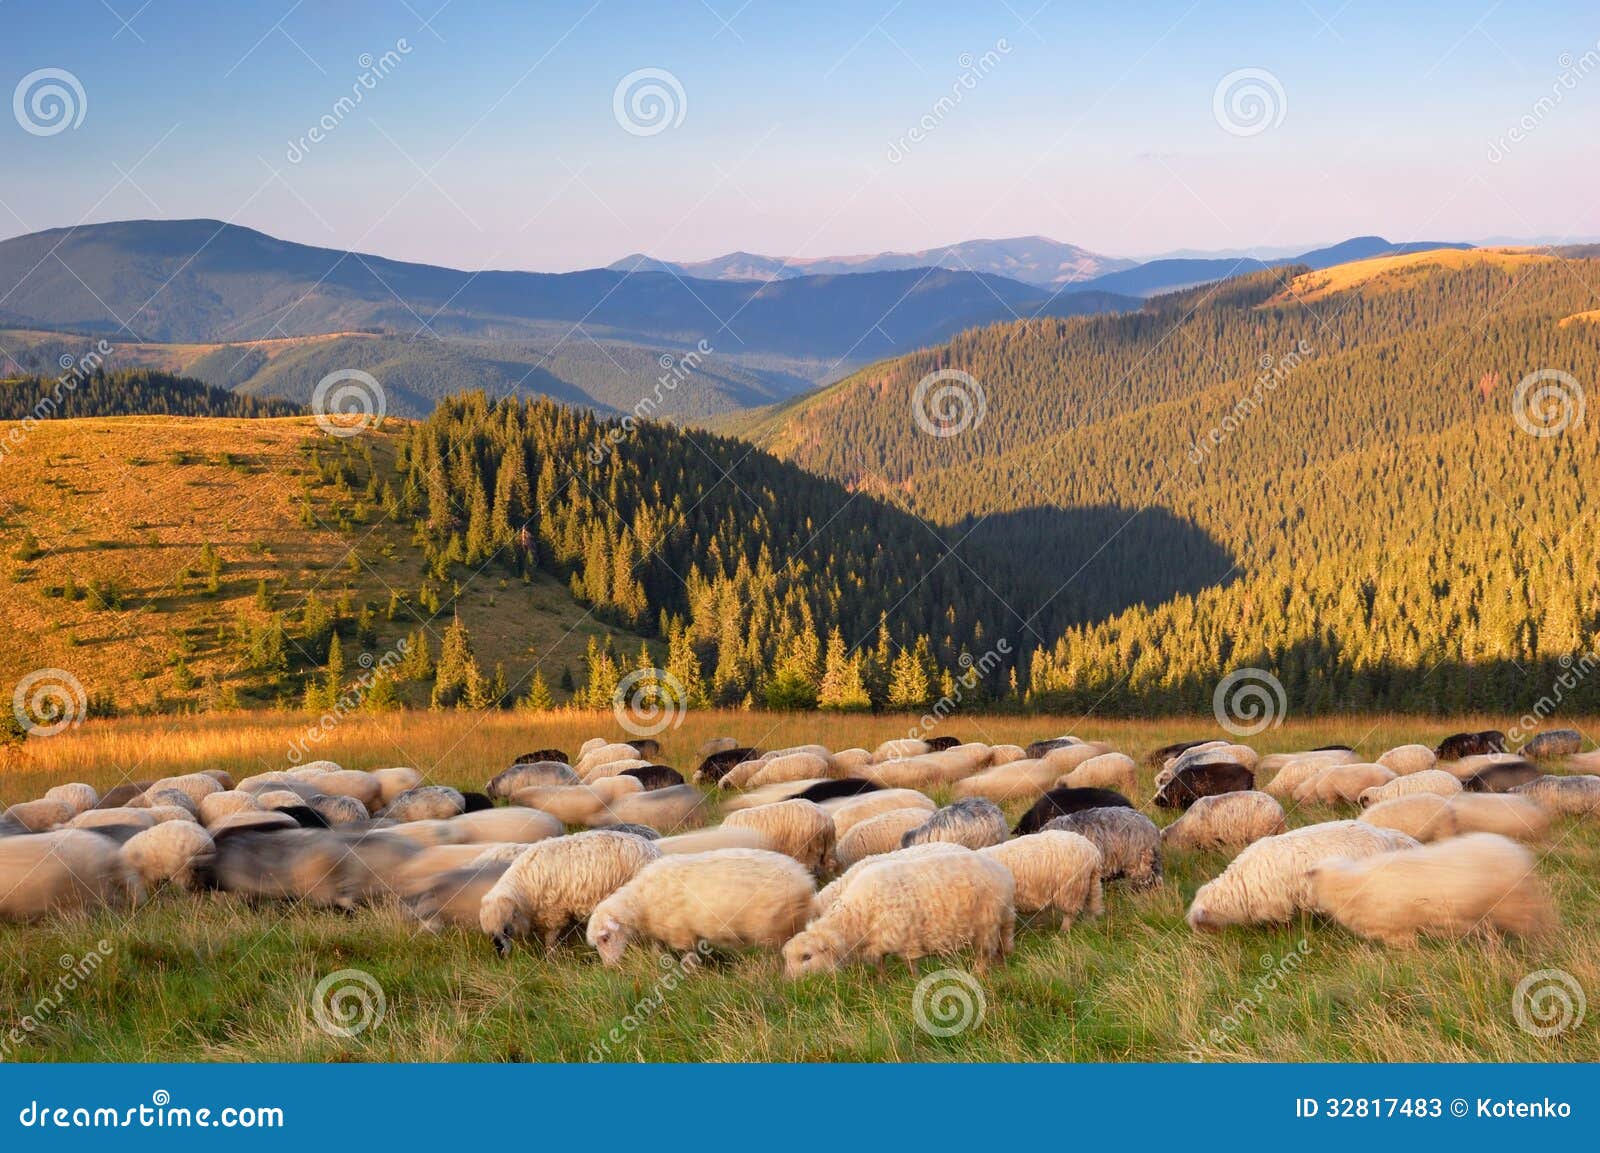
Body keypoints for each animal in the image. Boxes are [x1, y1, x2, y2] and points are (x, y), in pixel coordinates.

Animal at [587, 848, 815, 964]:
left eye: (605, 937)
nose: (610, 967)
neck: (641, 901)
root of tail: (804, 879)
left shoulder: (681, 932)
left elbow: (687, 954)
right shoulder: (660, 931)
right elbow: (657, 949)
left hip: (775, 926)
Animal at [783, 850, 1014, 976]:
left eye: (806, 956)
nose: (790, 984)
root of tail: (1002, 871)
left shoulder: (906, 940)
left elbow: (911, 967)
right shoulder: (877, 944)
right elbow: (880, 966)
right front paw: (882, 984)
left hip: (987, 923)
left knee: (985, 954)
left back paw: (979, 973)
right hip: (1002, 920)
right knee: (1002, 950)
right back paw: (1002, 971)